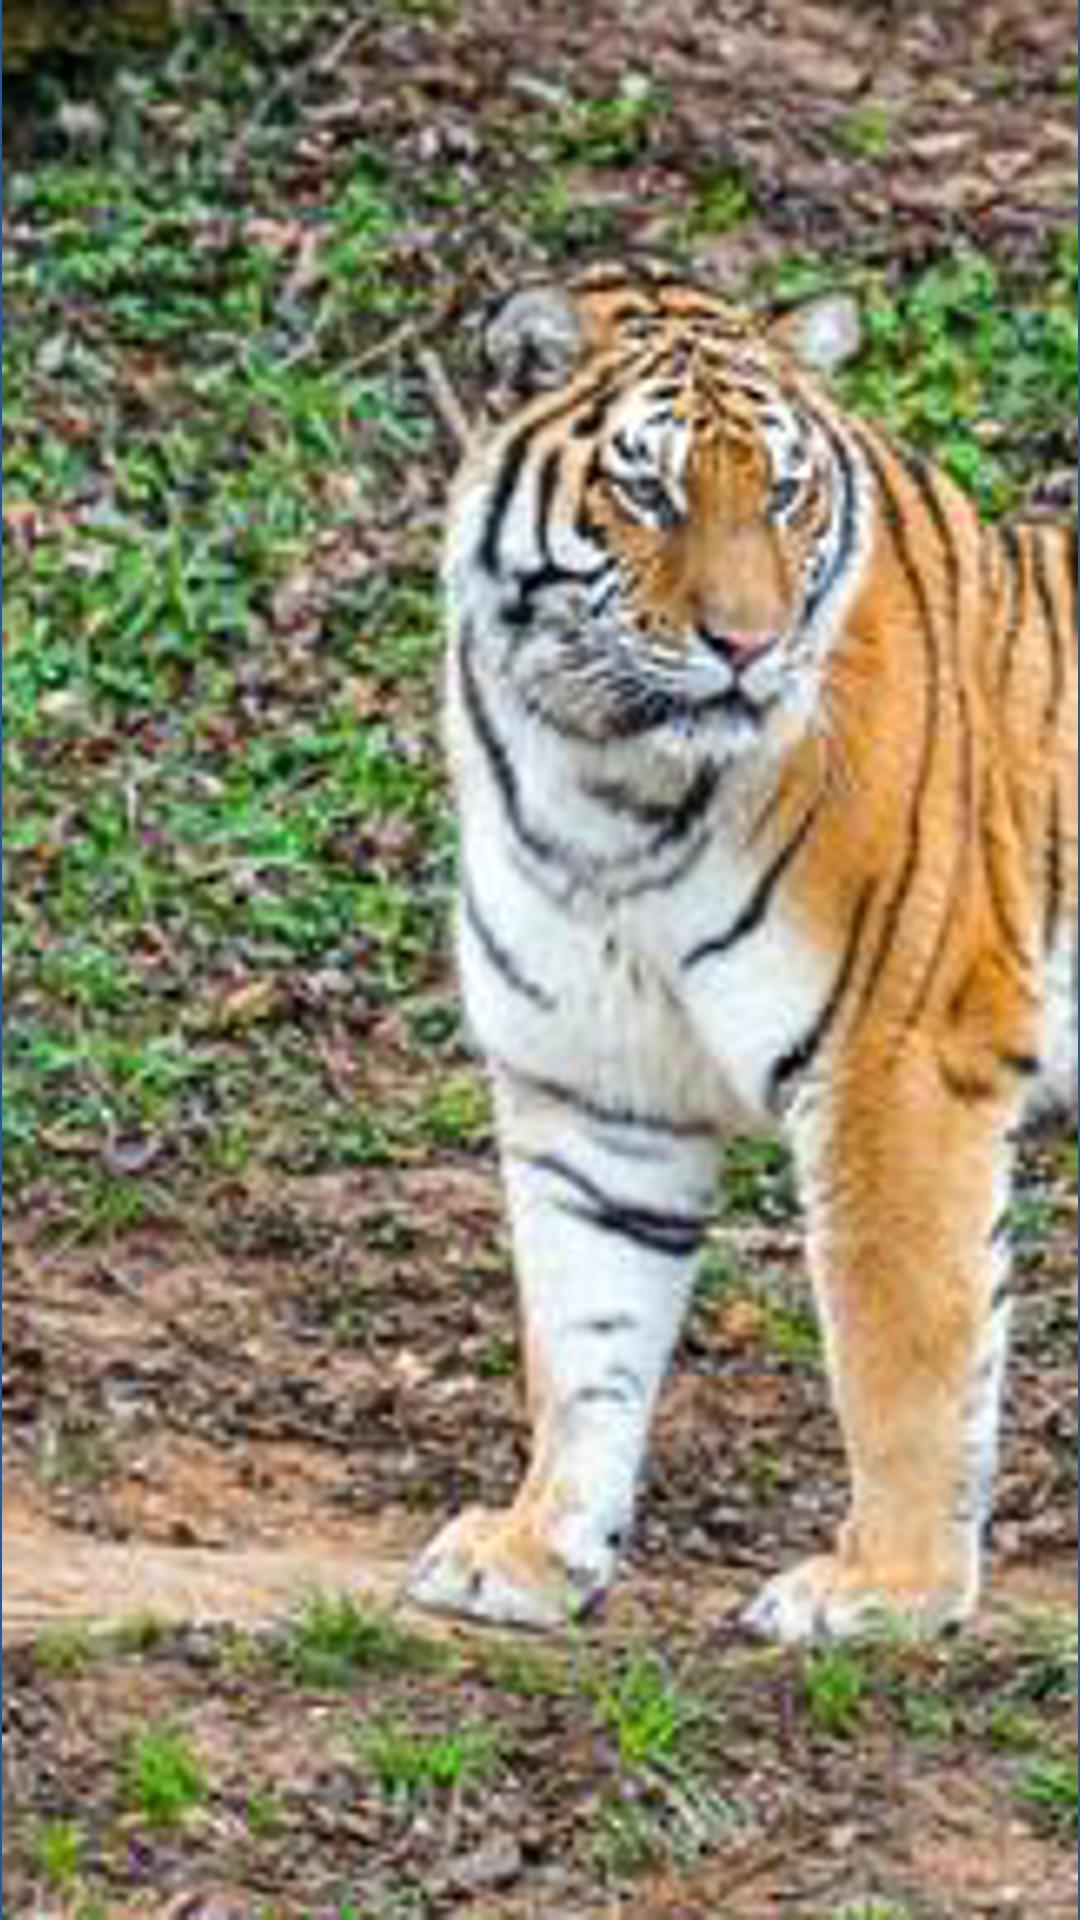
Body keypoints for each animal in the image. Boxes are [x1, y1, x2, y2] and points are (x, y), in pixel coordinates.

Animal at [407, 261, 1078, 1643]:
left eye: (780, 491)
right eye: (650, 491)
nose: (747, 646)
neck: (603, 783)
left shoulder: (898, 1062)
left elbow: (901, 1338)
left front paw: (885, 1591)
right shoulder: (594, 1087)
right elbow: (581, 1334)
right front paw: (536, 1550)